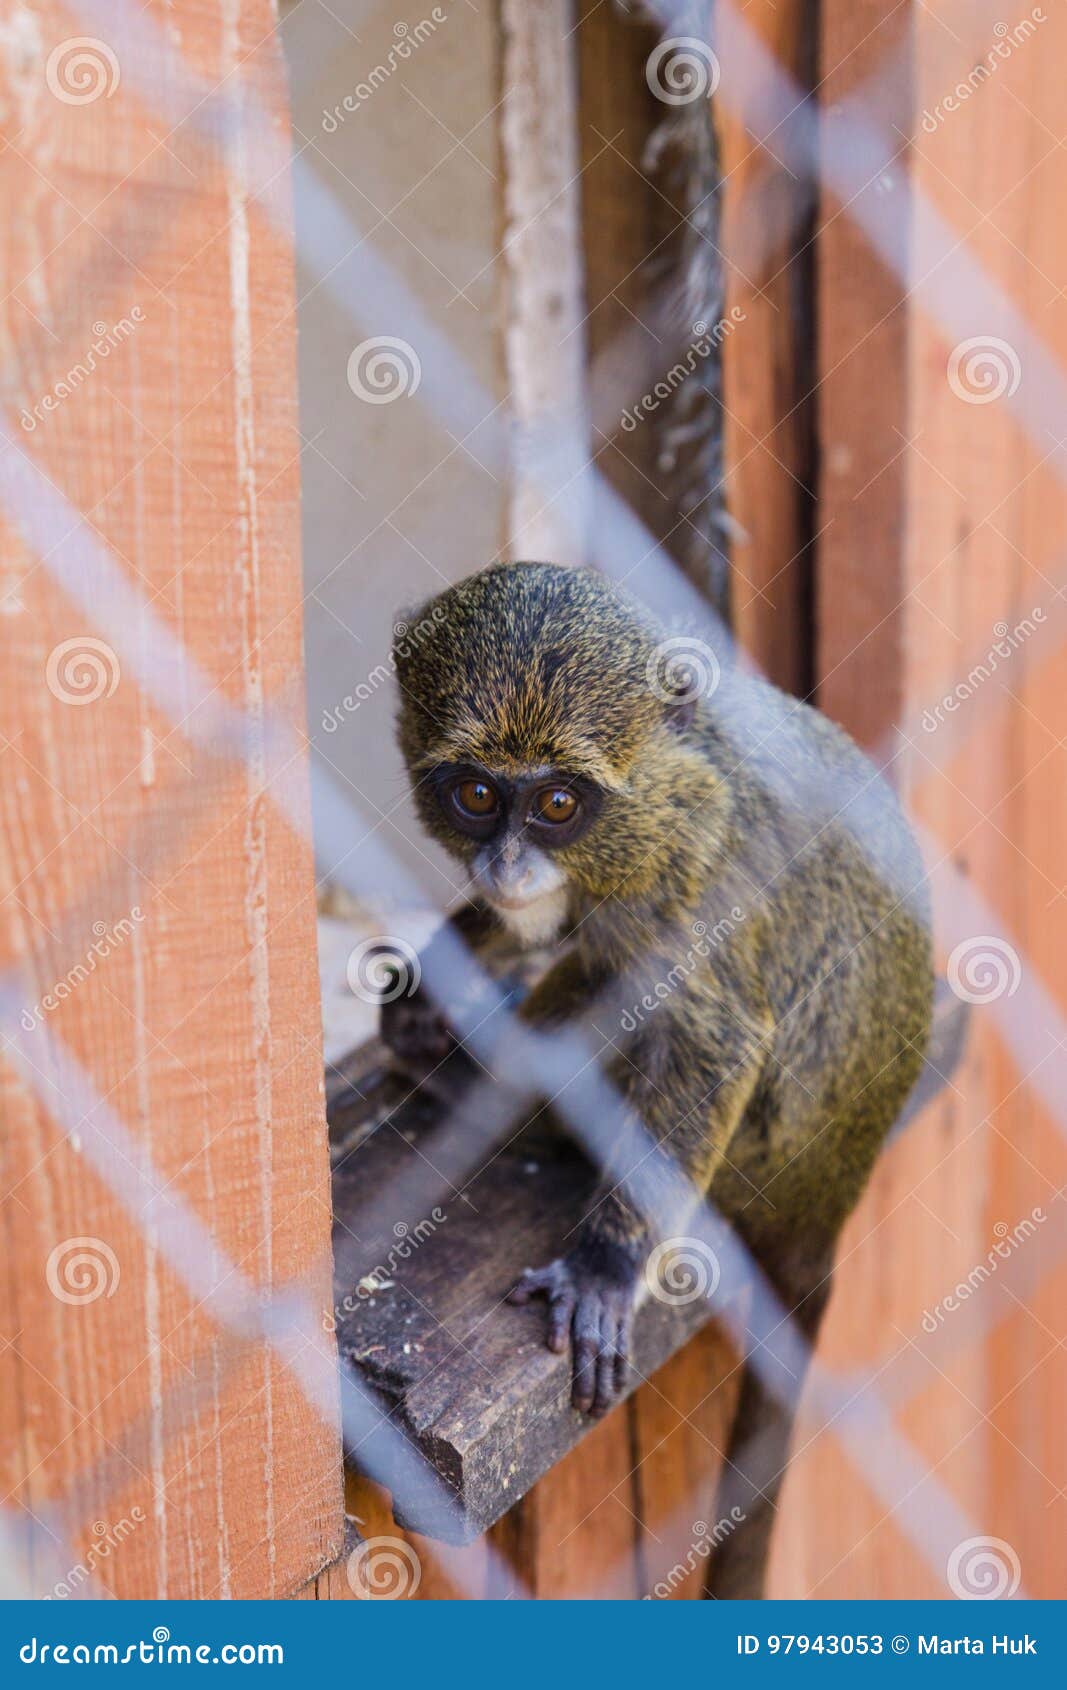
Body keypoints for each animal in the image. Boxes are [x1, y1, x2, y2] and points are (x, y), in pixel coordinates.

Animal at [379, 560, 934, 1598]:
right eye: (476, 794)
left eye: (558, 805)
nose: (506, 864)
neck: (673, 778)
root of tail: (831, 1186)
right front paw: (430, 976)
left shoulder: (690, 874)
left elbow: (712, 1040)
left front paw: (606, 1267)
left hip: (756, 1144)